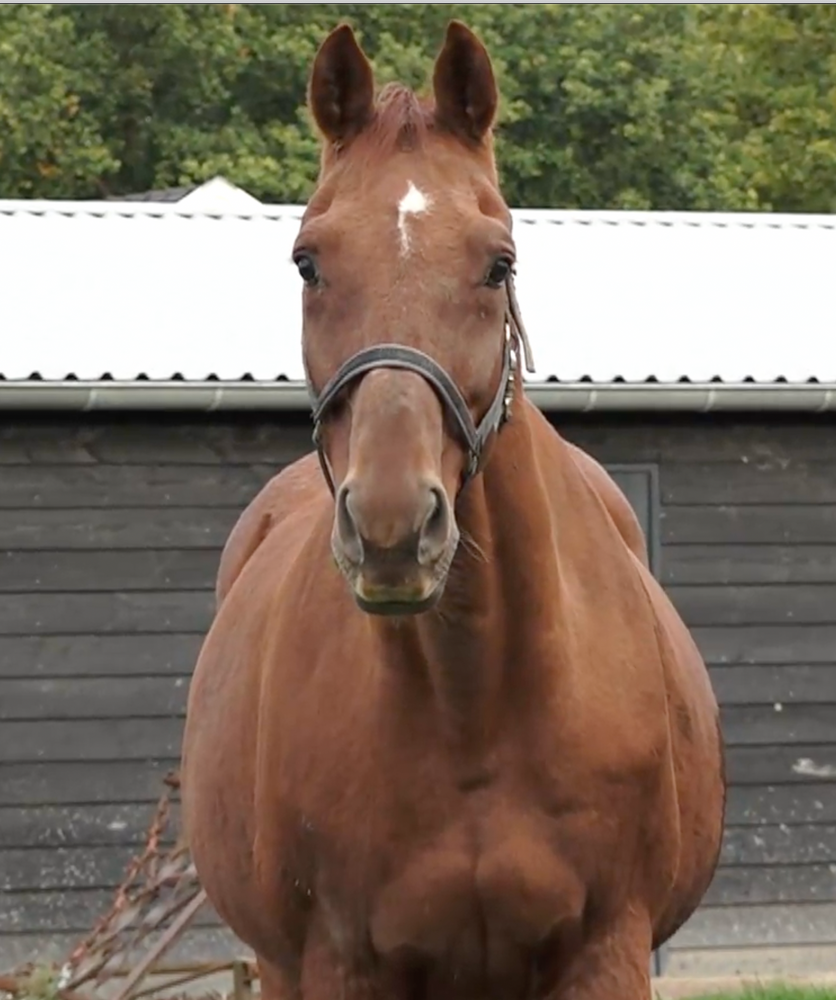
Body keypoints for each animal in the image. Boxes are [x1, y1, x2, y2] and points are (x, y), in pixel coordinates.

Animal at [181, 21, 726, 999]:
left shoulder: (609, 950)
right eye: (308, 261)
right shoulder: (341, 962)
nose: (393, 528)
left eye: (498, 261)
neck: (477, 701)